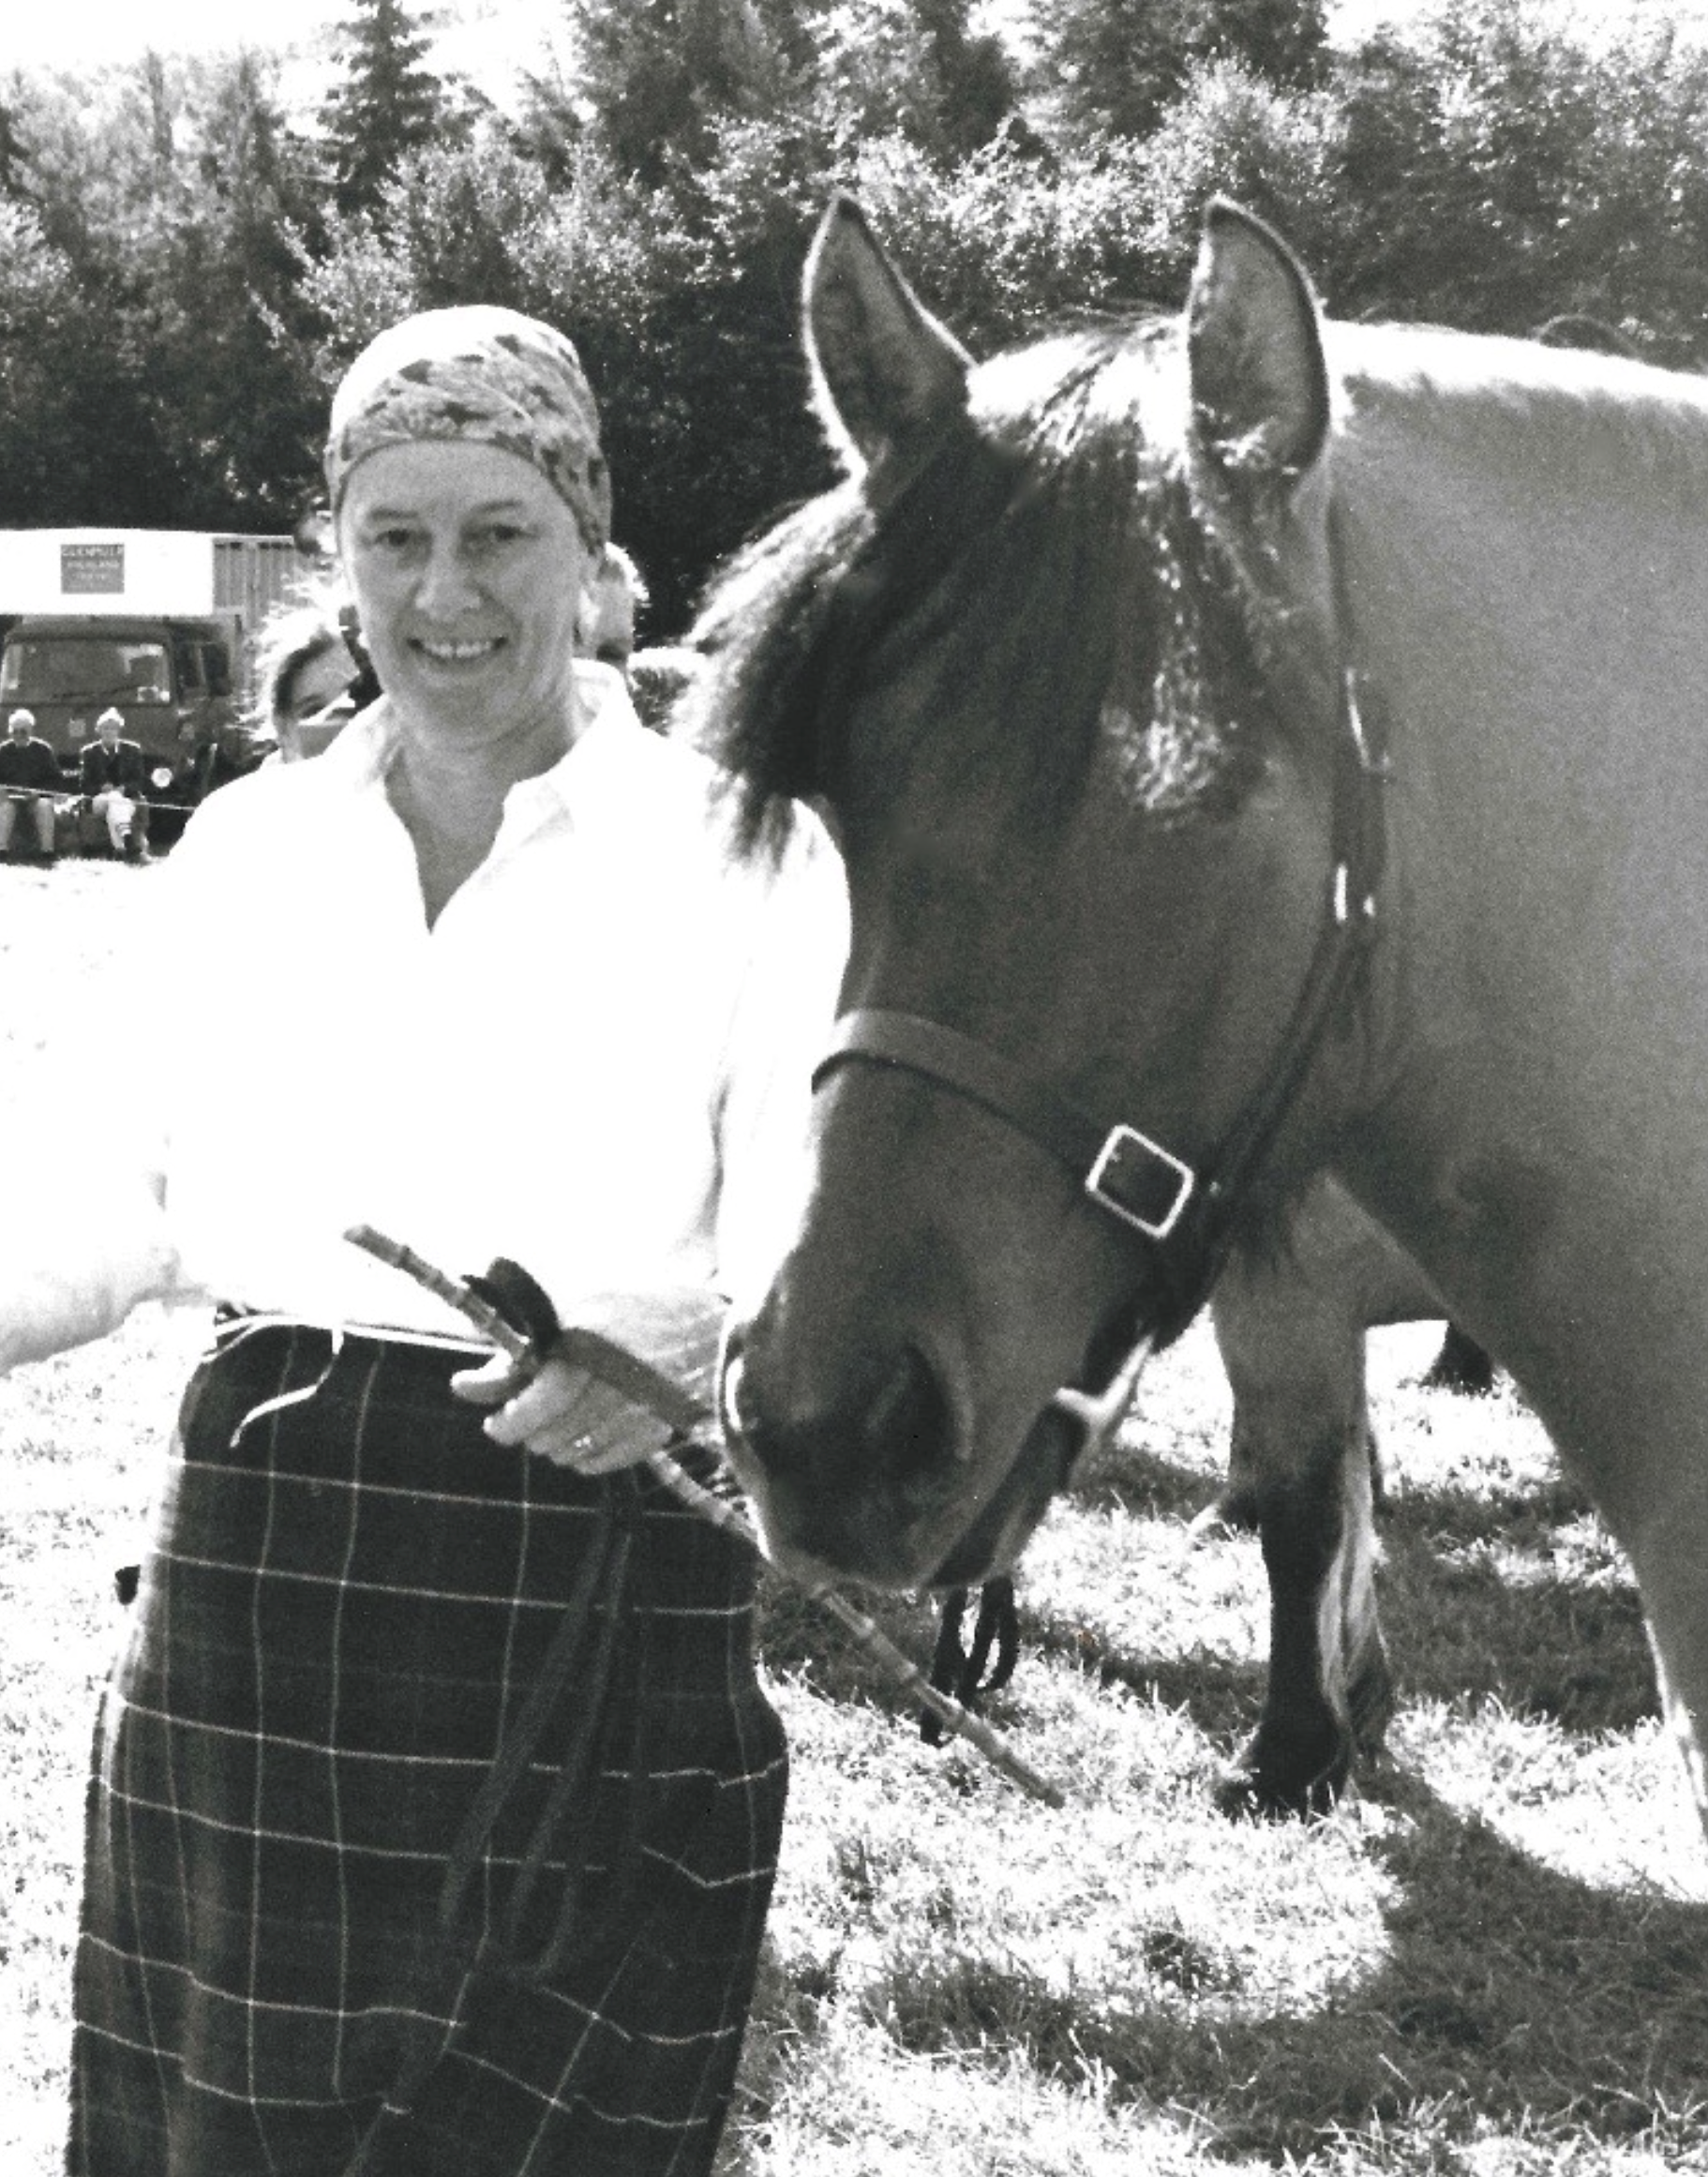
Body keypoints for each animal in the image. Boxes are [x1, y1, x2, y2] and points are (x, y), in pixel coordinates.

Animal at [695, 193, 1708, 1844]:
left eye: (1211, 803)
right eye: (841, 794)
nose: (822, 1427)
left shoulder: (1280, 1281)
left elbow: (1300, 1502)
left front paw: (1300, 1741)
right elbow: (1311, 1496)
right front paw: (1327, 1721)